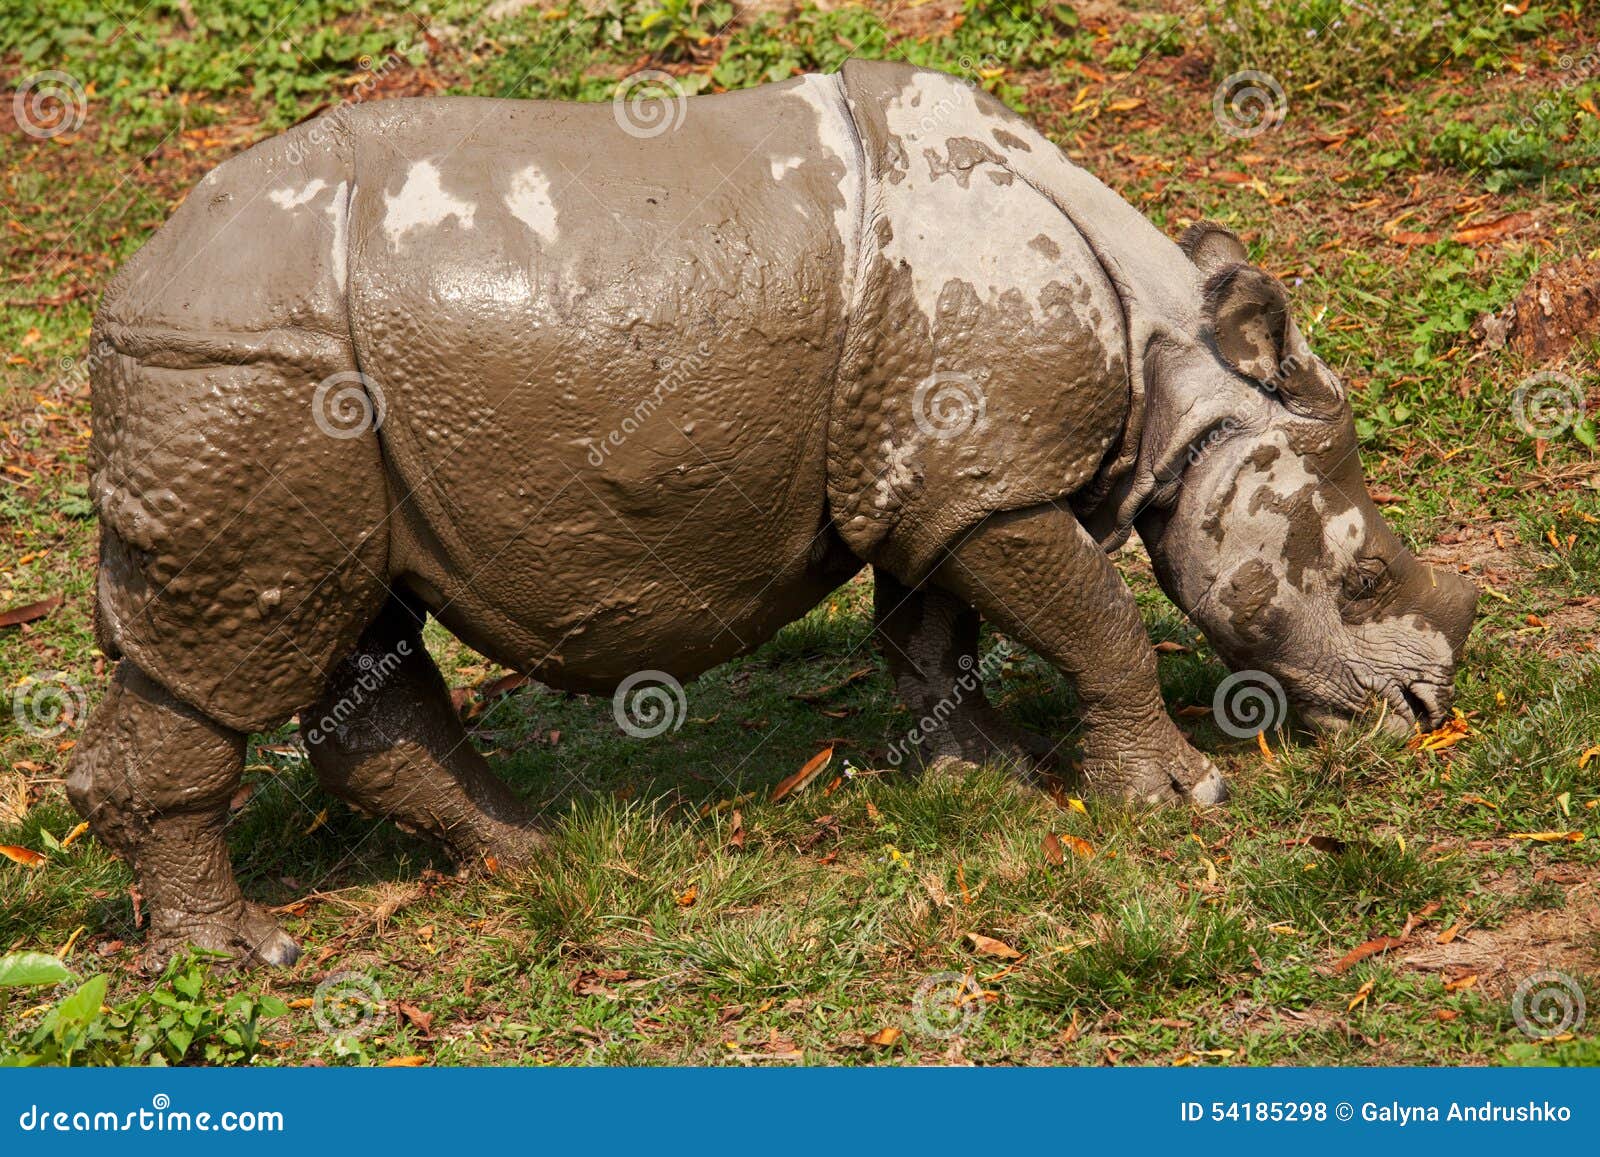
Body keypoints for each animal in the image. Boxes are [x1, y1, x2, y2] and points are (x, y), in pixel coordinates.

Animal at [68, 60, 1477, 965]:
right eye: (1357, 583)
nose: (1422, 714)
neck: (1176, 371)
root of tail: (133, 282)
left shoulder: (940, 474)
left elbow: (933, 631)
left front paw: (990, 783)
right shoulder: (991, 484)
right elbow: (1097, 619)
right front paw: (1176, 800)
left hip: (293, 385)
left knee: (350, 632)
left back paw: (542, 853)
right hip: (245, 377)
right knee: (240, 650)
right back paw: (246, 956)